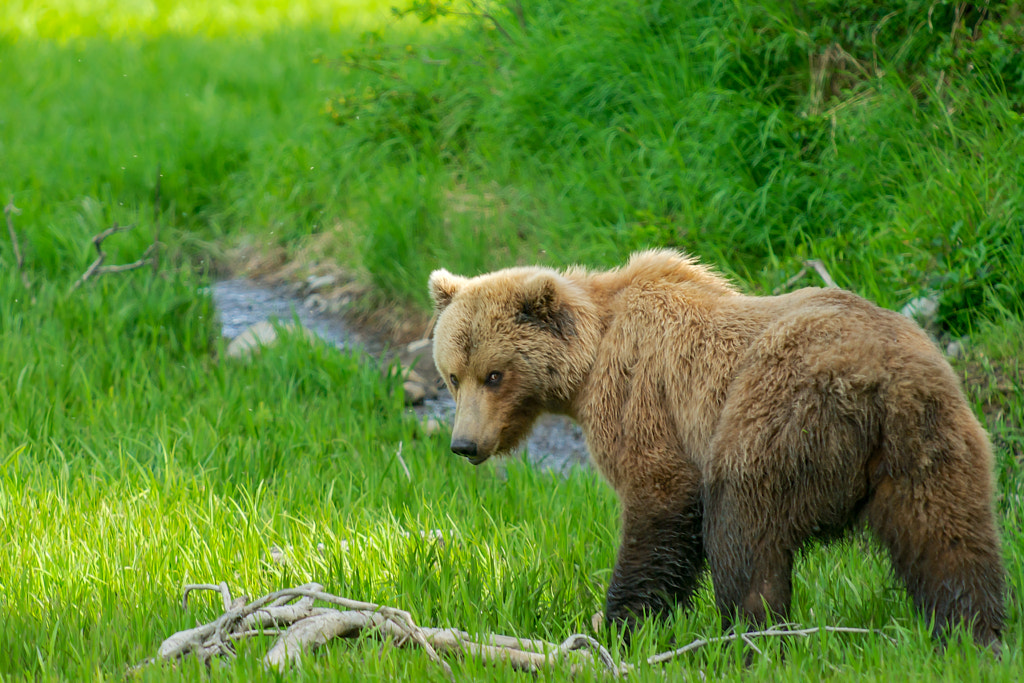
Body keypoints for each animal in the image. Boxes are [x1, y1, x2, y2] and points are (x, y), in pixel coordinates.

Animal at [428, 249, 1006, 648]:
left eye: (495, 375)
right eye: (453, 375)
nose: (464, 443)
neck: (588, 362)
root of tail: (876, 384)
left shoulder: (641, 396)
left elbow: (661, 499)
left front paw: (619, 622)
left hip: (774, 417)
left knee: (743, 531)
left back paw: (746, 640)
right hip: (934, 442)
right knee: (948, 540)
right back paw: (973, 637)